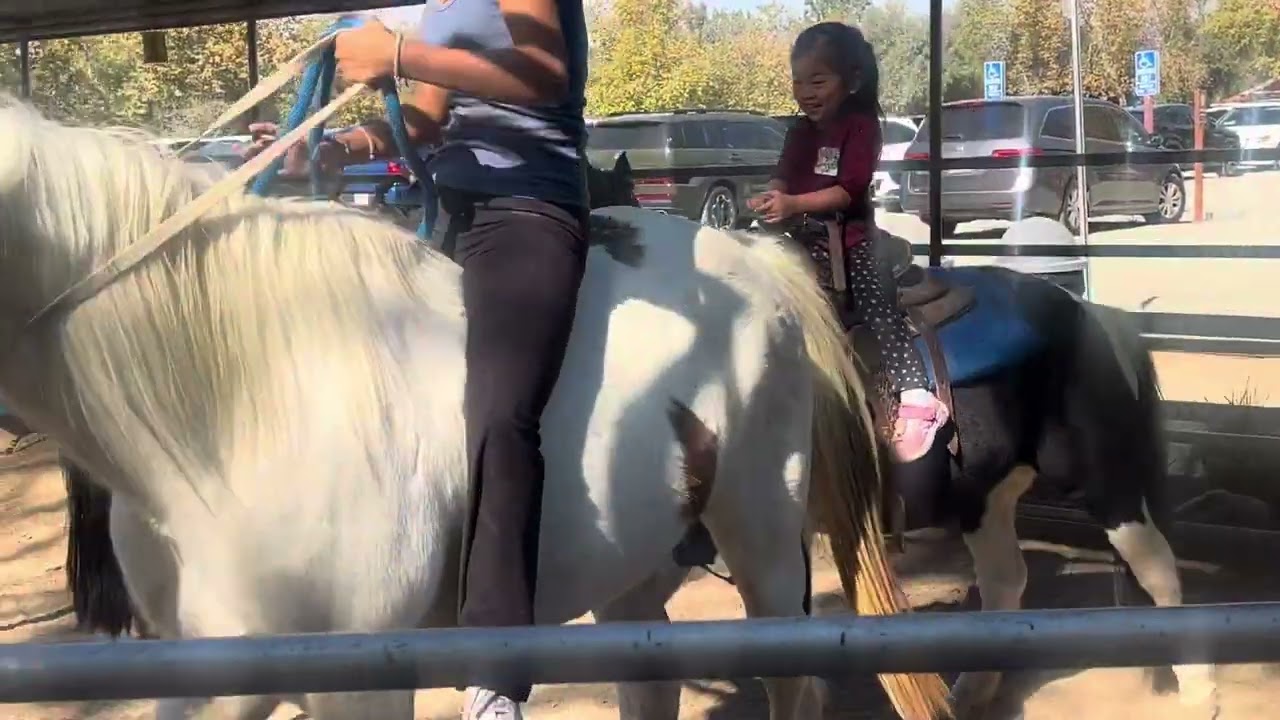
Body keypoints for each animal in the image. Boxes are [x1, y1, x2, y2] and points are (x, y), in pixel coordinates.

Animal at [0, 96, 949, 720]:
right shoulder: (202, 681)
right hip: (633, 571)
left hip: (766, 545)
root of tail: (757, 257)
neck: (240, 401)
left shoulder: (359, 684)